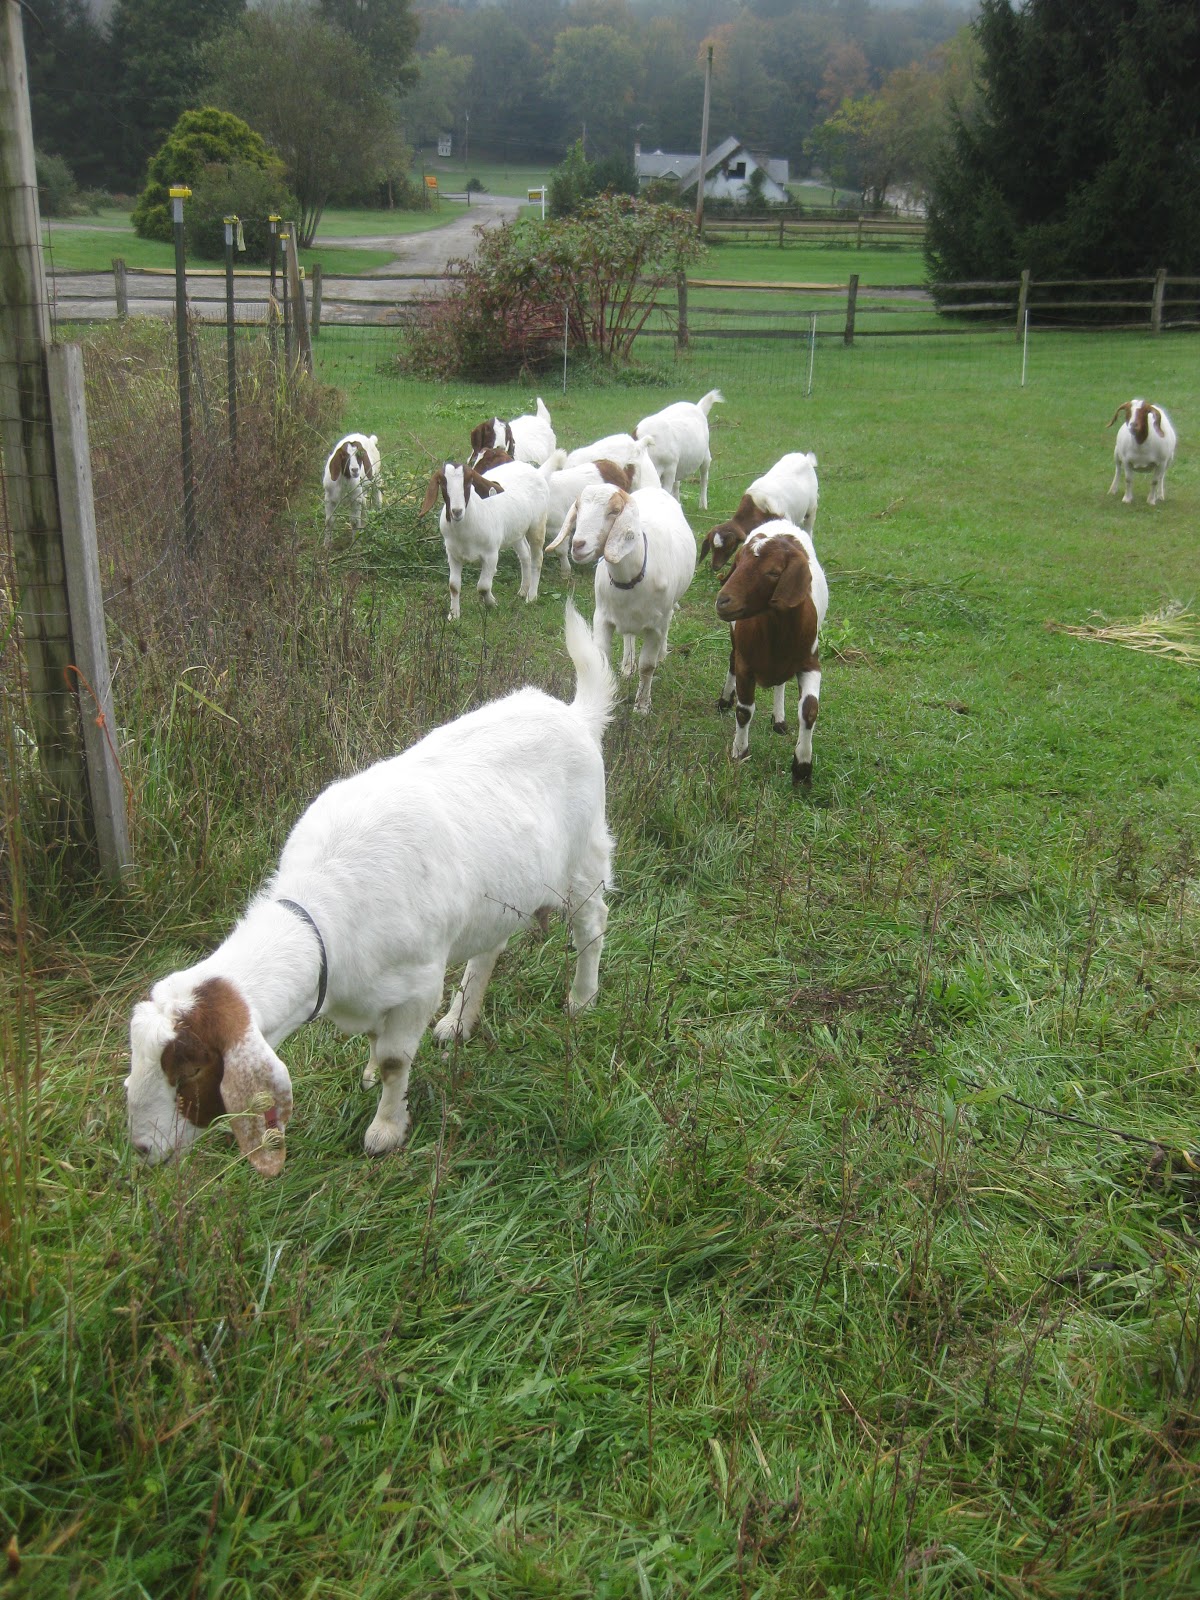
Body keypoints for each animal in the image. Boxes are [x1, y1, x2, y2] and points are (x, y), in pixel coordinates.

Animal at [125, 604, 616, 1174]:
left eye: (188, 1070)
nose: (142, 1149)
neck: (325, 913)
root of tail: (576, 715)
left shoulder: (418, 984)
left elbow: (394, 1060)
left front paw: (386, 1129)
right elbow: (378, 1046)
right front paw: (369, 1076)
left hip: (583, 859)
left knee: (592, 924)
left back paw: (581, 999)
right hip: (499, 891)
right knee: (489, 948)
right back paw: (458, 1022)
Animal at [421, 459, 549, 619]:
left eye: (469, 482)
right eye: (443, 483)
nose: (457, 511)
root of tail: (530, 468)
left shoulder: (491, 554)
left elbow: (483, 586)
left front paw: (492, 603)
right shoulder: (453, 555)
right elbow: (453, 585)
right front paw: (453, 615)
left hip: (537, 525)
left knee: (537, 560)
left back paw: (531, 597)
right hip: (516, 531)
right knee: (525, 554)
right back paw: (523, 591)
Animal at [547, 483, 697, 714]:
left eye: (615, 511)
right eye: (578, 507)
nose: (578, 544)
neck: (631, 578)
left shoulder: (656, 626)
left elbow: (647, 666)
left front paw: (642, 706)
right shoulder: (601, 617)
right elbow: (601, 658)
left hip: (668, 610)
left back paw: (661, 653)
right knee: (629, 636)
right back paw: (627, 665)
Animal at [714, 521, 828, 786]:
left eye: (774, 572)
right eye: (737, 562)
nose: (722, 601)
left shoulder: (810, 663)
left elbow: (809, 710)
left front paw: (802, 768)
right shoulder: (746, 664)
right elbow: (744, 711)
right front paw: (740, 753)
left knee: (781, 683)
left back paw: (779, 719)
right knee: (731, 661)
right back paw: (724, 700)